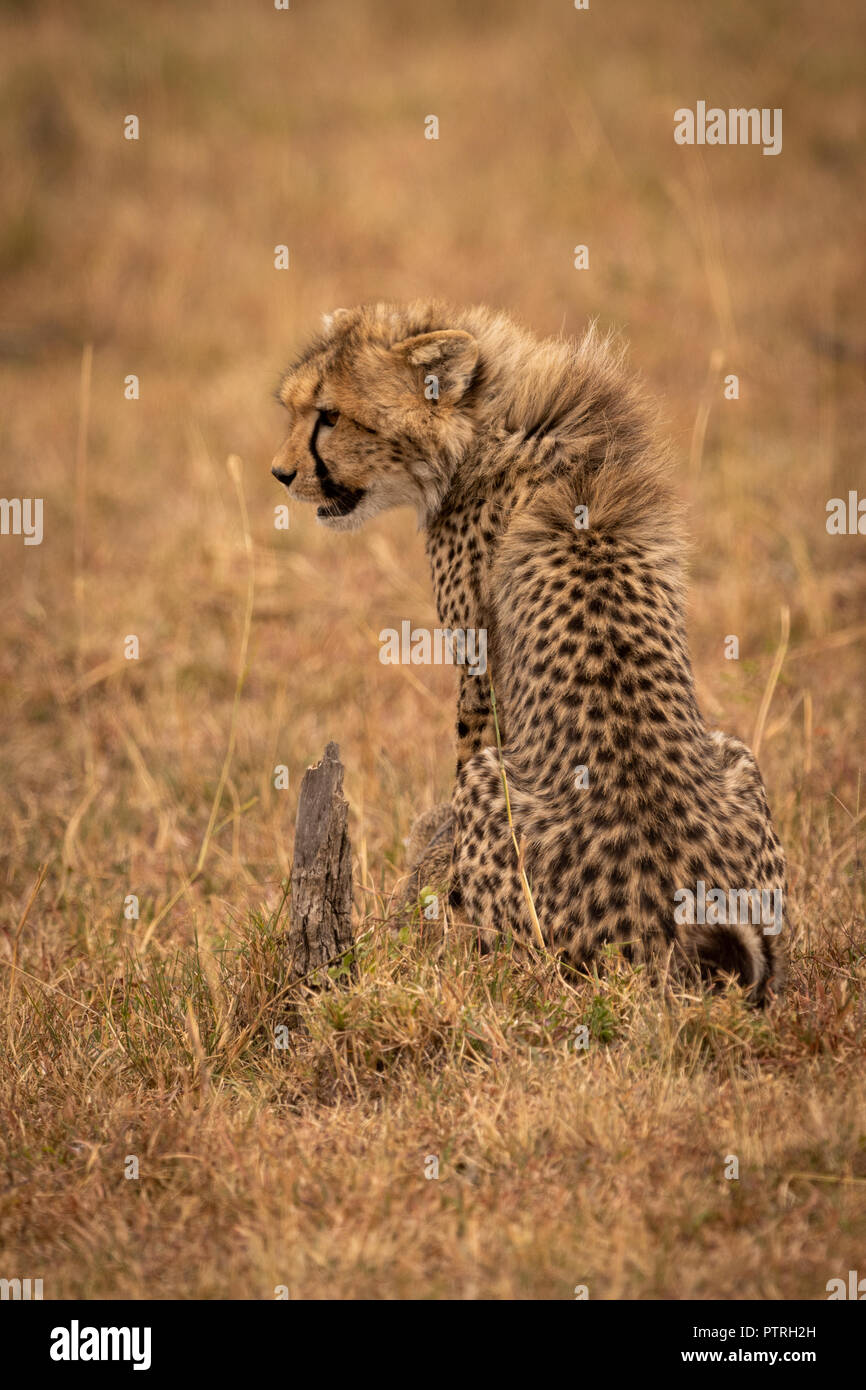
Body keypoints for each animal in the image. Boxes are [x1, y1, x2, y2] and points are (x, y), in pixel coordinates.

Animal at [272, 299, 786, 1002]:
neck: (486, 425)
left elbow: (464, 751)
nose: (281, 473)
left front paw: (435, 885)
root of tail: (668, 931)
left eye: (329, 415)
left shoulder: (478, 668)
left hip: (502, 796)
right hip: (736, 756)